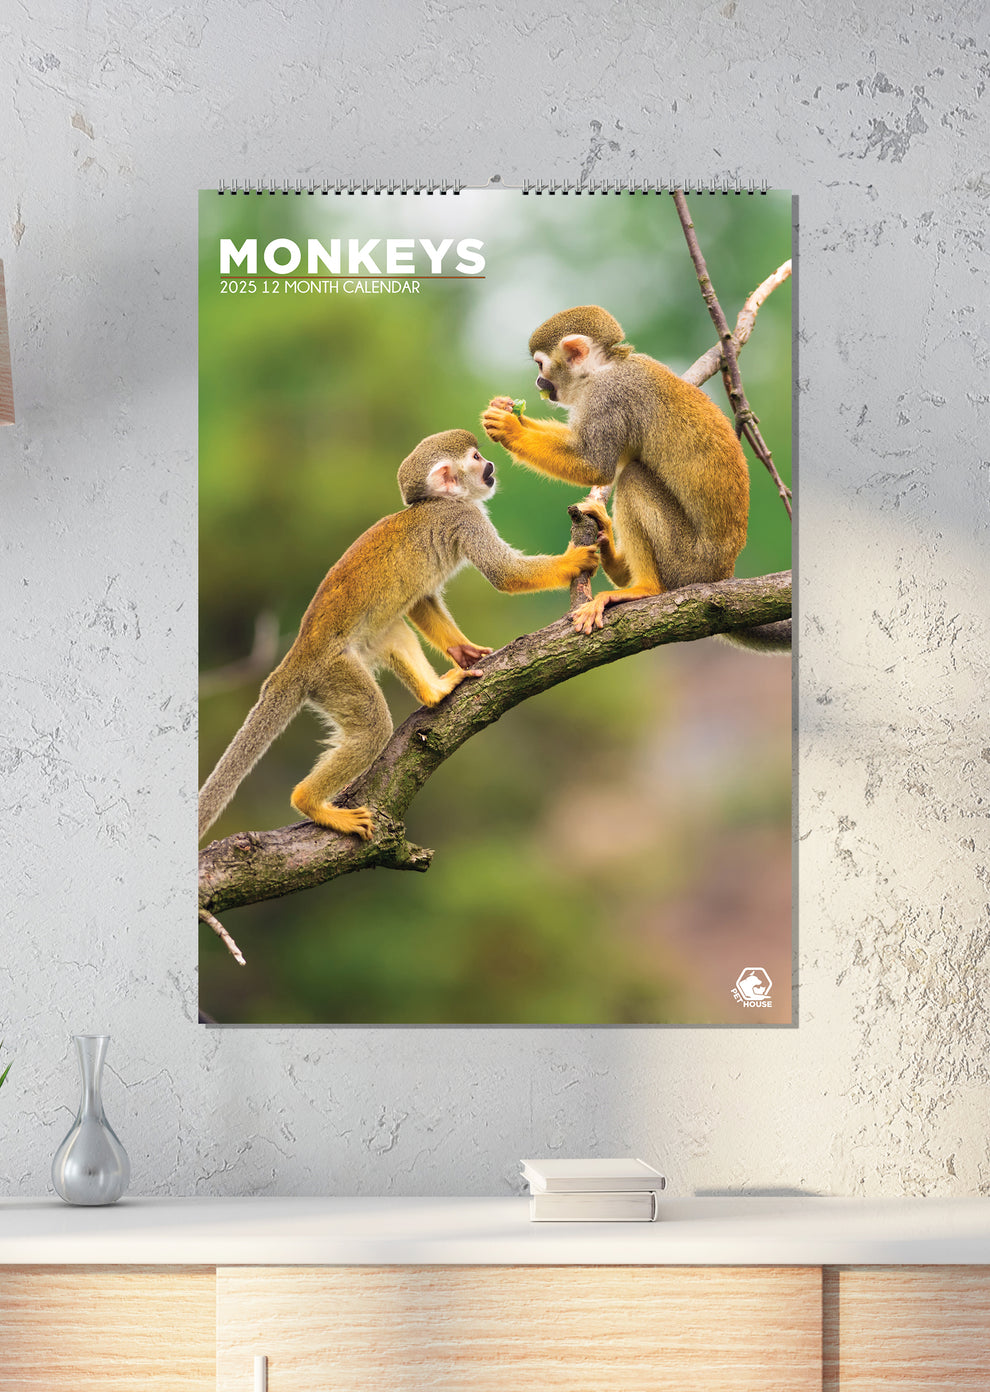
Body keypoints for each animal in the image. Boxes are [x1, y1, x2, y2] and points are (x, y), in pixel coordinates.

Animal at [198, 429, 599, 843]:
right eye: (475, 458)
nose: (490, 466)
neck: (439, 503)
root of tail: (293, 662)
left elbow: (420, 600)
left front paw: (463, 650)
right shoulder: (464, 519)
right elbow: (505, 575)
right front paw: (576, 559)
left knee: (392, 630)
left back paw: (434, 692)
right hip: (332, 673)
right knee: (373, 727)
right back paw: (310, 802)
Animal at [482, 306, 790, 651]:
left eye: (540, 364)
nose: (538, 382)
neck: (603, 369)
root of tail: (722, 573)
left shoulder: (608, 397)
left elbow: (595, 466)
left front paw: (511, 429)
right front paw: (506, 409)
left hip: (685, 560)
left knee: (633, 477)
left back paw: (642, 588)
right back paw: (613, 555)